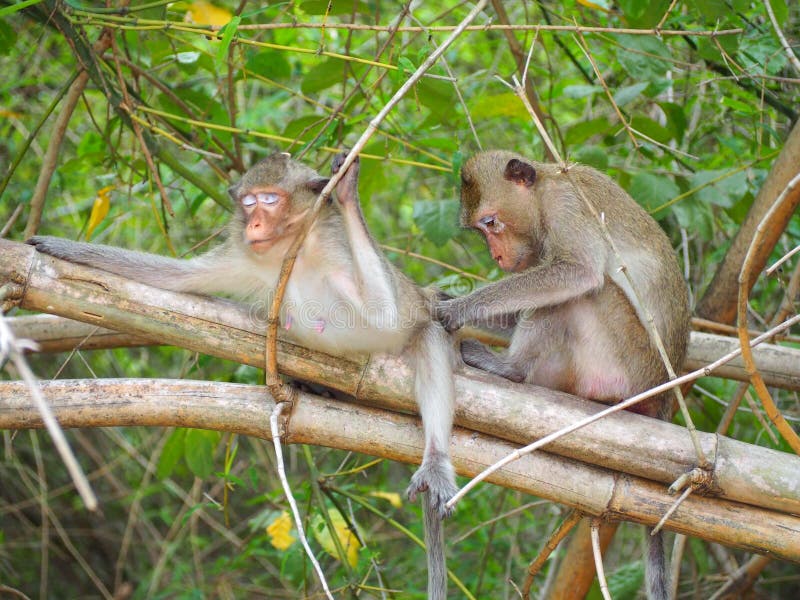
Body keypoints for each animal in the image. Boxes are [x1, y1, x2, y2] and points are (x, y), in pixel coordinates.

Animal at [28, 151, 457, 600]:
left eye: (270, 200)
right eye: (249, 202)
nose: (253, 224)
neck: (291, 251)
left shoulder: (336, 249)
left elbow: (386, 317)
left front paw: (346, 191)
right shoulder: (245, 257)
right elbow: (175, 277)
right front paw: (55, 247)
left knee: (428, 334)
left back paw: (434, 459)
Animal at [434, 150, 691, 600]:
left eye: (491, 222)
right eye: (480, 230)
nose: (497, 257)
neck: (543, 189)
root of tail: (662, 396)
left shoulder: (567, 209)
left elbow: (575, 273)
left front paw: (460, 308)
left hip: (627, 365)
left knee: (586, 291)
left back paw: (511, 369)